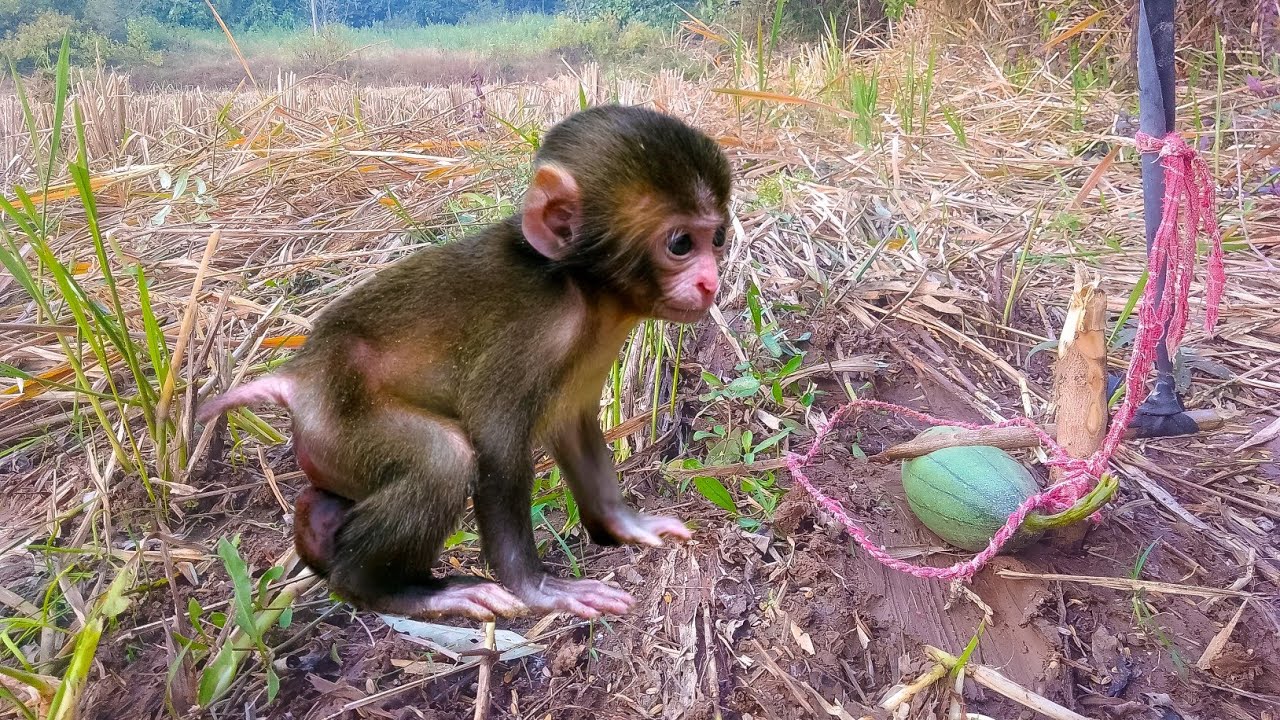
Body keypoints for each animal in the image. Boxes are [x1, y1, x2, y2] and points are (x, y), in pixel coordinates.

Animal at [198, 105, 733, 622]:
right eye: (681, 244)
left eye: (718, 238)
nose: (710, 281)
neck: (579, 284)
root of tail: (300, 375)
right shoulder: (537, 331)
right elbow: (494, 440)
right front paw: (537, 589)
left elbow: (571, 423)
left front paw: (623, 524)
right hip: (337, 418)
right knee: (444, 458)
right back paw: (395, 592)